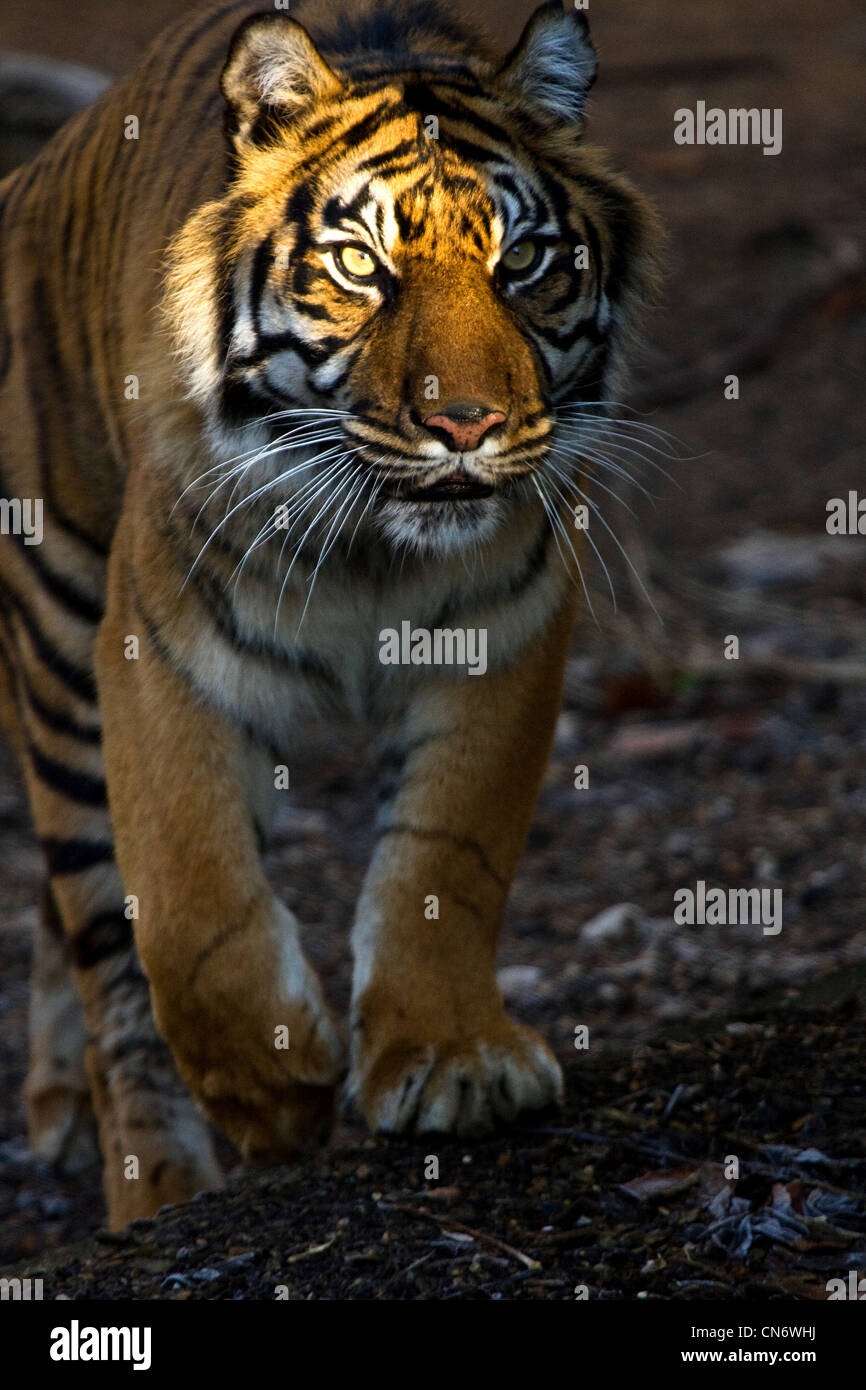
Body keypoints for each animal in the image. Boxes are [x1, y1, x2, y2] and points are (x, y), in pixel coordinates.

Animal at [0, 0, 662, 1229]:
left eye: (524, 262)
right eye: (361, 266)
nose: (468, 423)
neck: (374, 555)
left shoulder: (502, 632)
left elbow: (445, 860)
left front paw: (451, 1060)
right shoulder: (159, 648)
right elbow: (186, 904)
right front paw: (271, 1095)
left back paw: (62, 1103)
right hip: (58, 633)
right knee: (96, 926)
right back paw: (150, 1174)